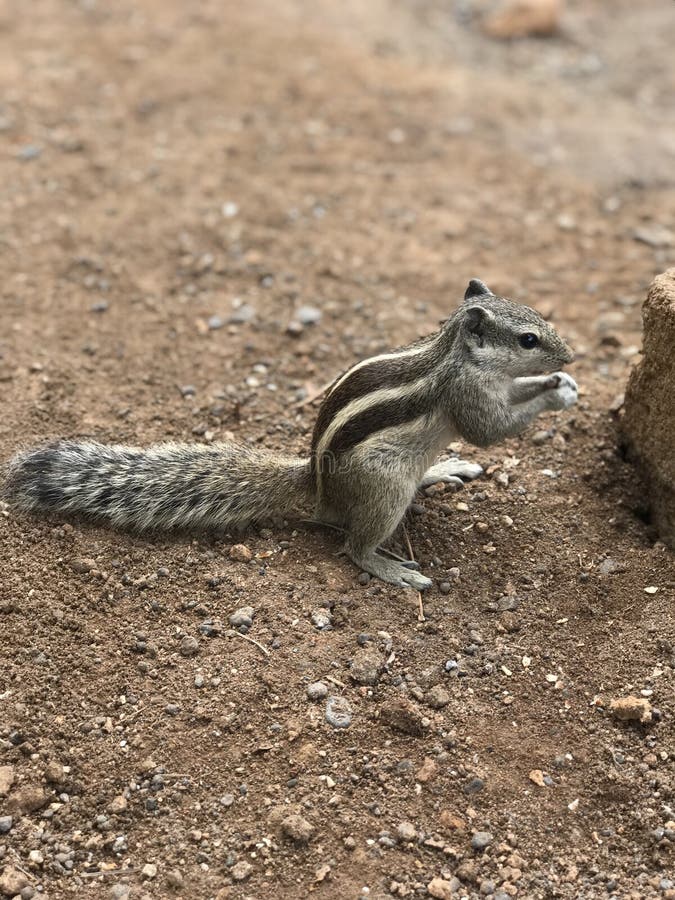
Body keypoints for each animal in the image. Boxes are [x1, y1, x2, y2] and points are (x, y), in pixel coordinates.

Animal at [4, 279, 577, 590]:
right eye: (528, 339)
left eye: (540, 319)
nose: (570, 356)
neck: (455, 351)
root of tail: (317, 487)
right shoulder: (467, 396)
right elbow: (489, 430)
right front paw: (553, 392)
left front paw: (560, 383)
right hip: (383, 490)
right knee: (353, 545)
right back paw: (389, 568)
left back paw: (440, 468)